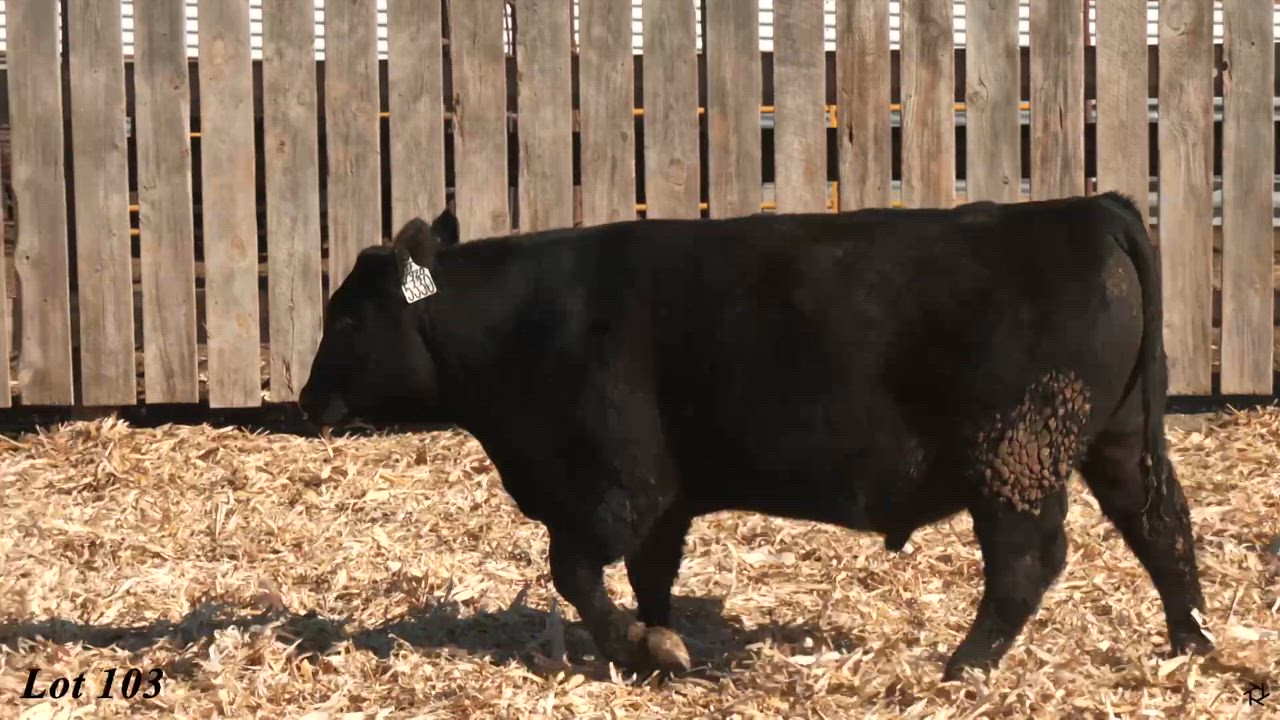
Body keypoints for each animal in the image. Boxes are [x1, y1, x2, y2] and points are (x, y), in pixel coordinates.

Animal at [298, 193, 1213, 680]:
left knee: (1027, 564)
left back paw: (966, 665)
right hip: (1115, 443)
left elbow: (577, 574)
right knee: (1162, 528)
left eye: (347, 317)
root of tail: (1084, 209)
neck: (524, 320)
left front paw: (643, 648)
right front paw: (659, 643)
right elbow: (650, 576)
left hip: (1014, 458)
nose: (306, 399)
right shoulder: (663, 503)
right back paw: (1191, 643)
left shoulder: (619, 487)